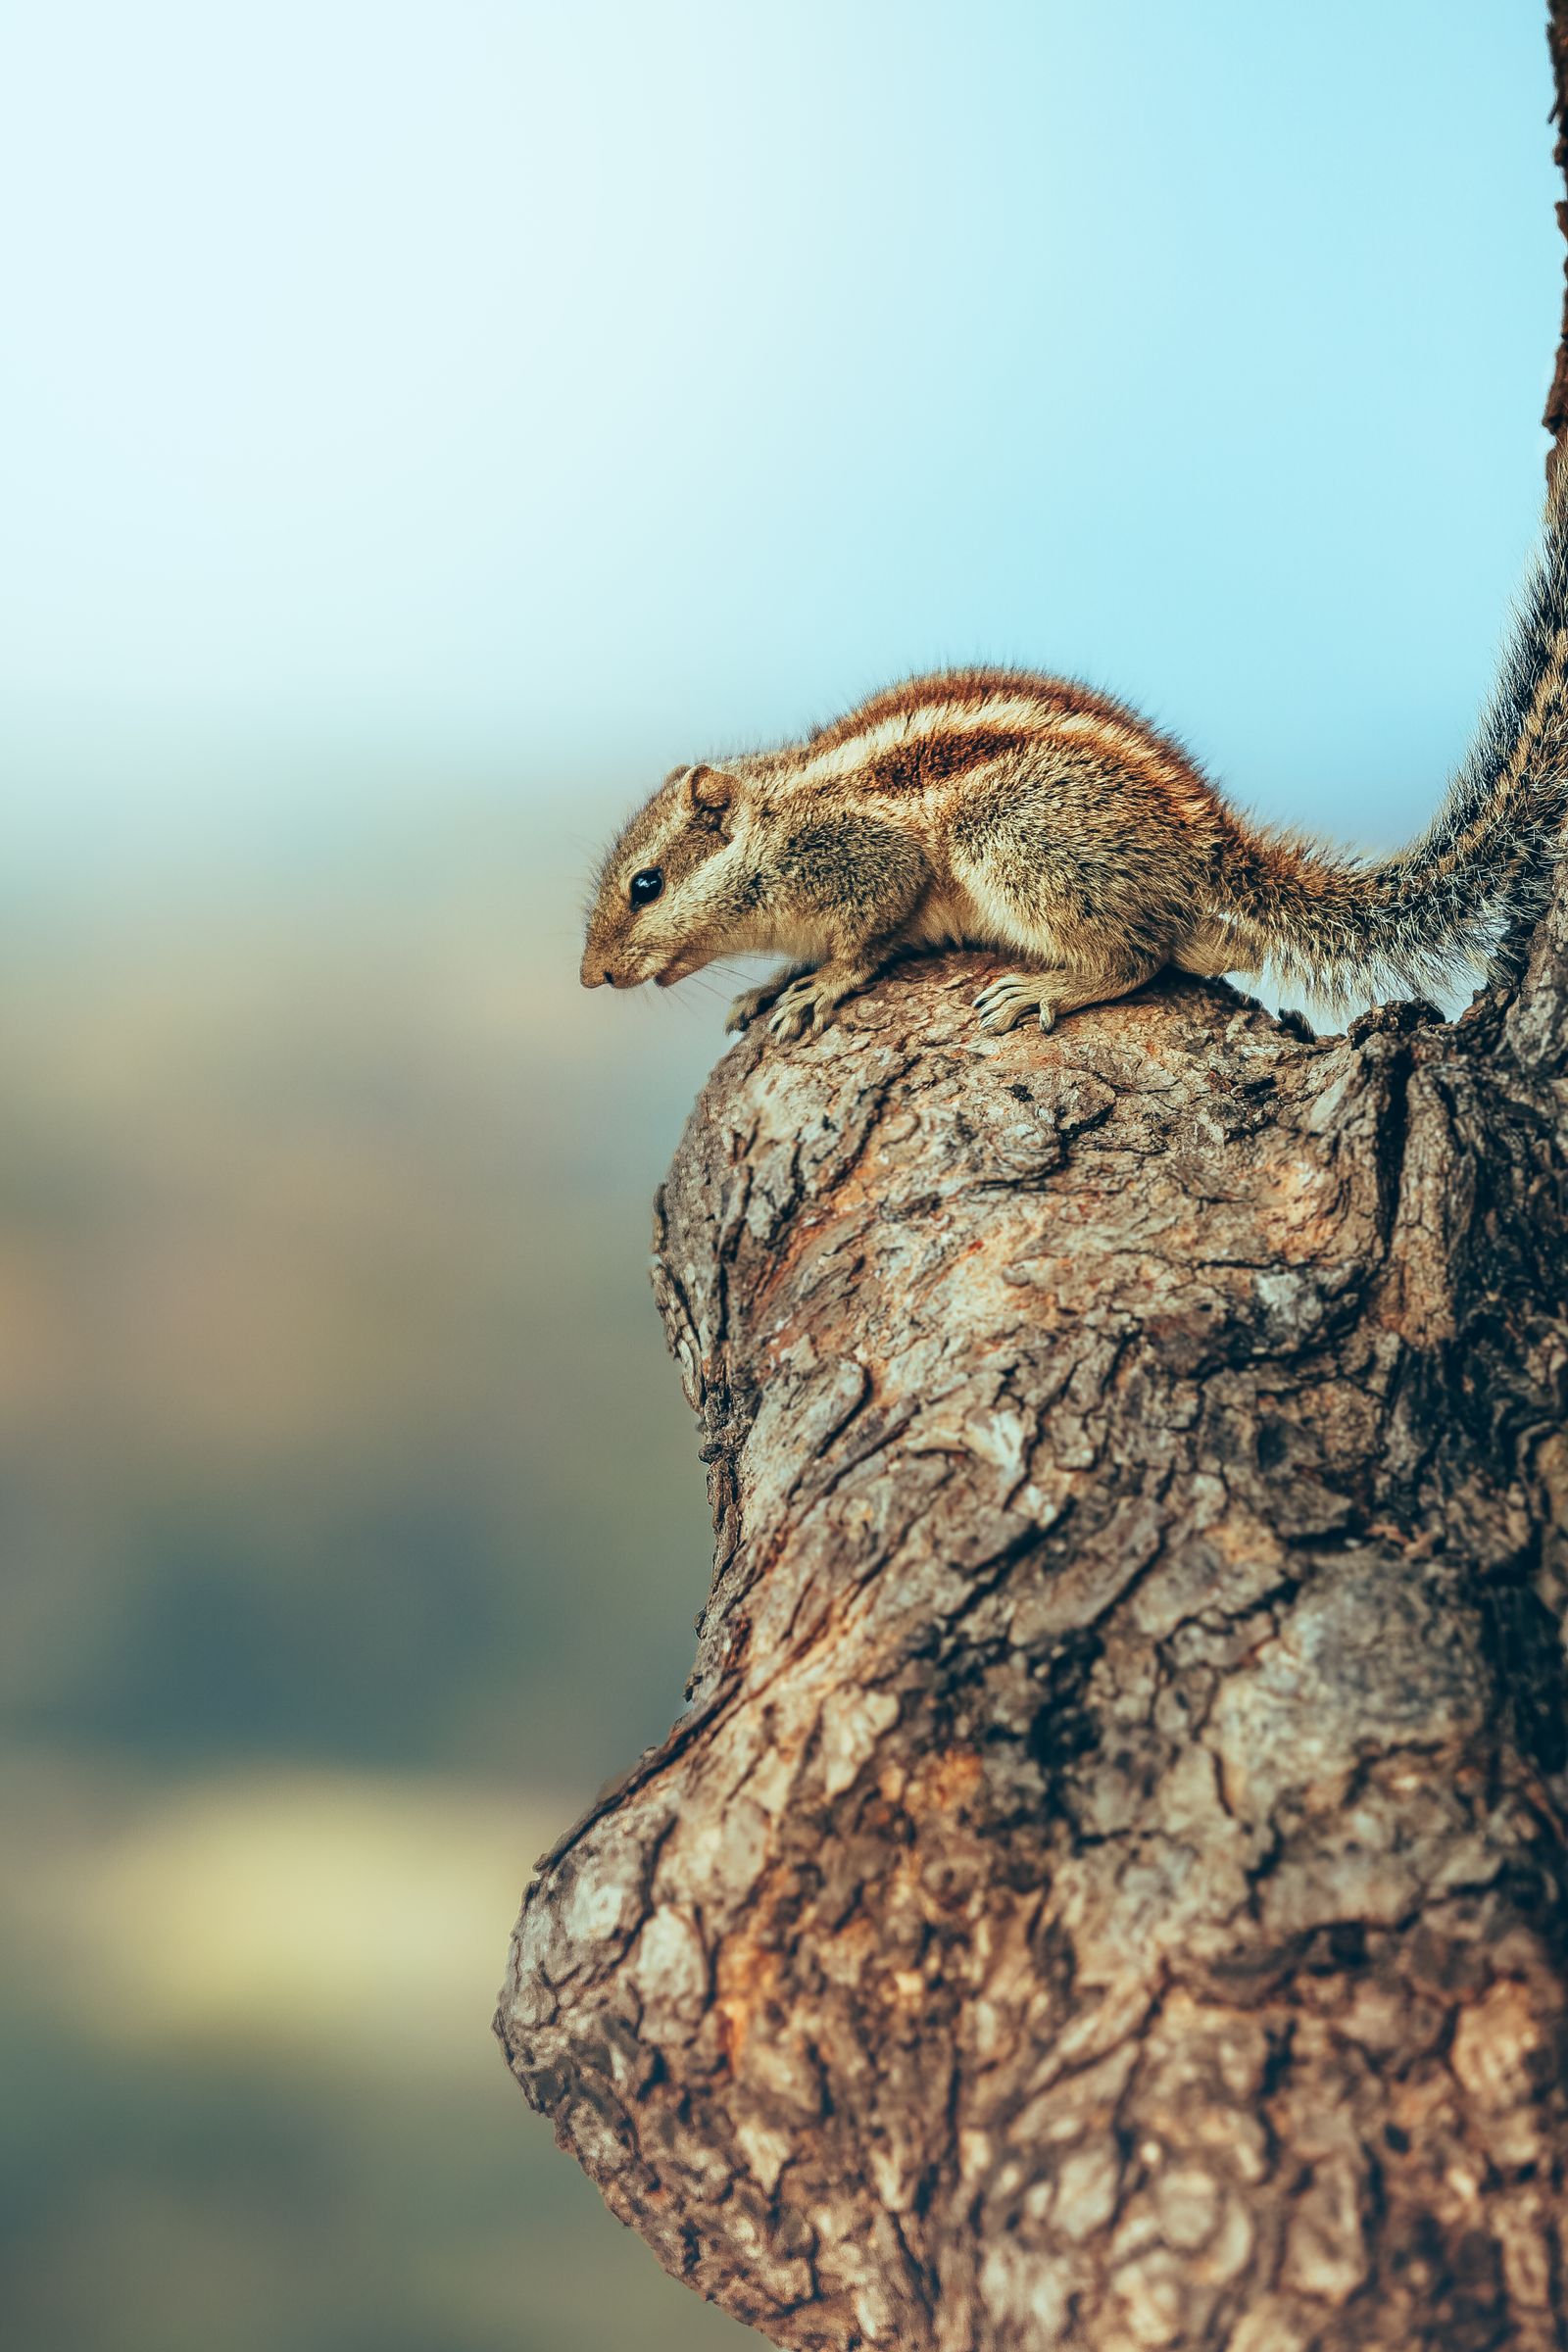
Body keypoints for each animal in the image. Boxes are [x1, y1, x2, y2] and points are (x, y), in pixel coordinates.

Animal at [580, 476, 1568, 1043]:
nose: (593, 977)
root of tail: (1206, 841)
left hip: (1013, 836)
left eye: (645, 886)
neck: (777, 824)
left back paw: (1044, 988)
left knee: (1132, 957)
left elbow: (867, 939)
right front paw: (770, 986)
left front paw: (818, 985)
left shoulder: (864, 863)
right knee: (1217, 943)